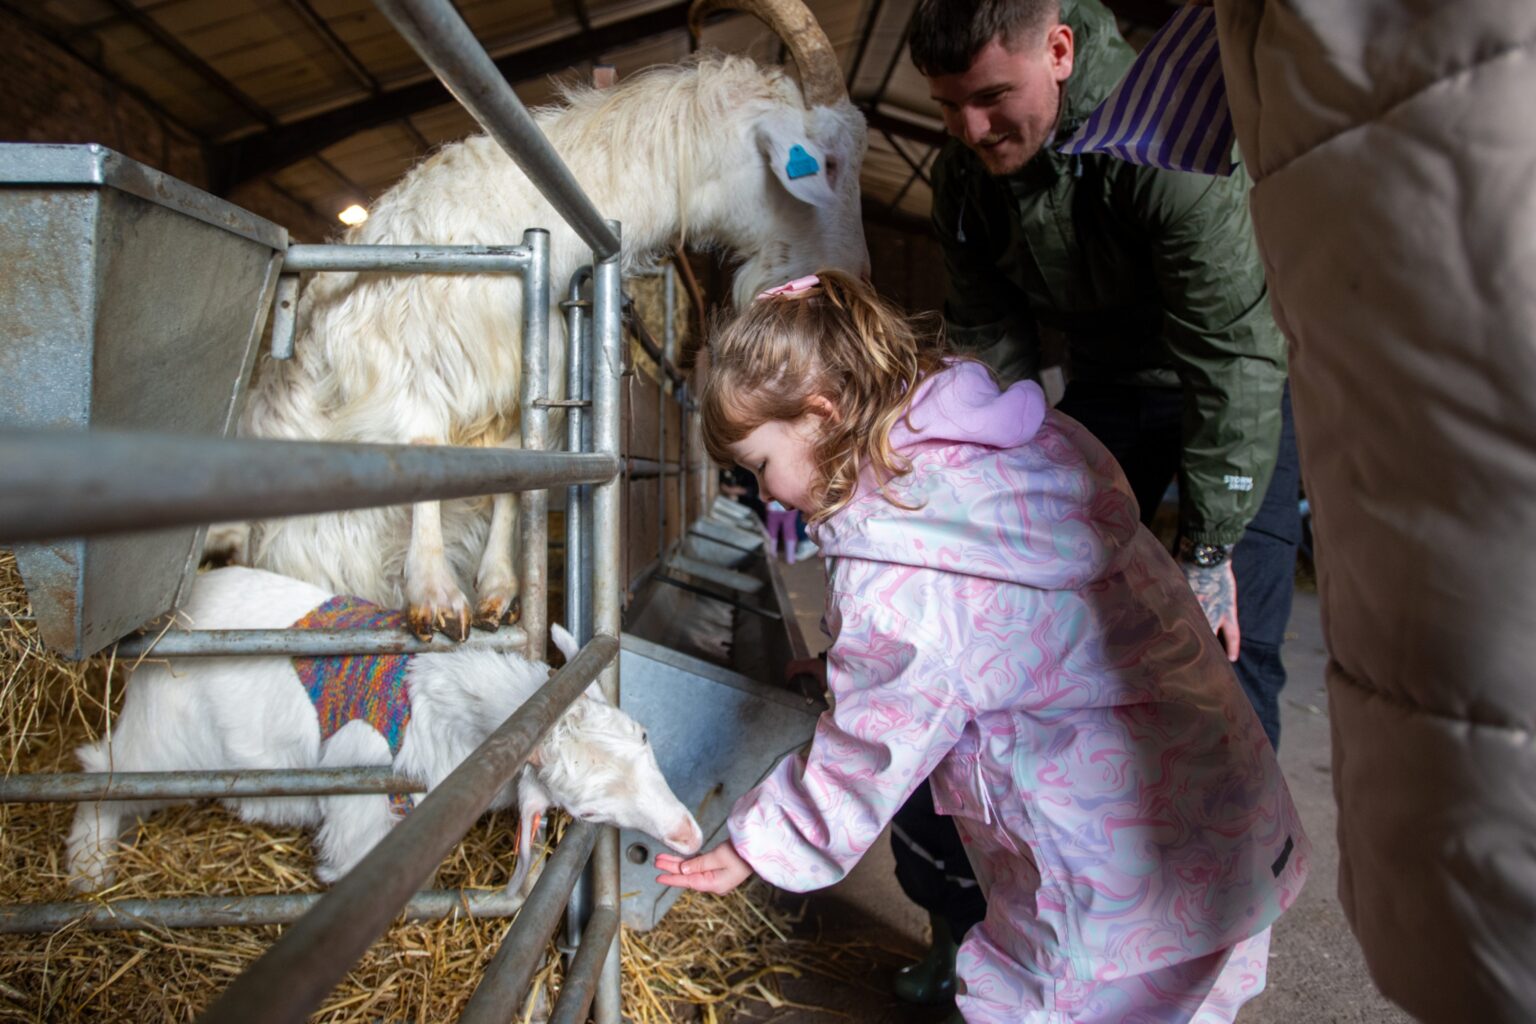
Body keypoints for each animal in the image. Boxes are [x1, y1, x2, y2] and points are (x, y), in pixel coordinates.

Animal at [66, 566, 702, 895]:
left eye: (644, 736)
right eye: (587, 811)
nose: (689, 836)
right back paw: (89, 869)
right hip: (163, 738)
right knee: (104, 774)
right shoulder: (362, 814)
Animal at [238, 0, 869, 640]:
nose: (853, 271)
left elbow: (513, 472)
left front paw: (500, 592)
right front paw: (437, 597)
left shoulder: (527, 374)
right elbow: (423, 445)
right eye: (829, 164)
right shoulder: (400, 352)